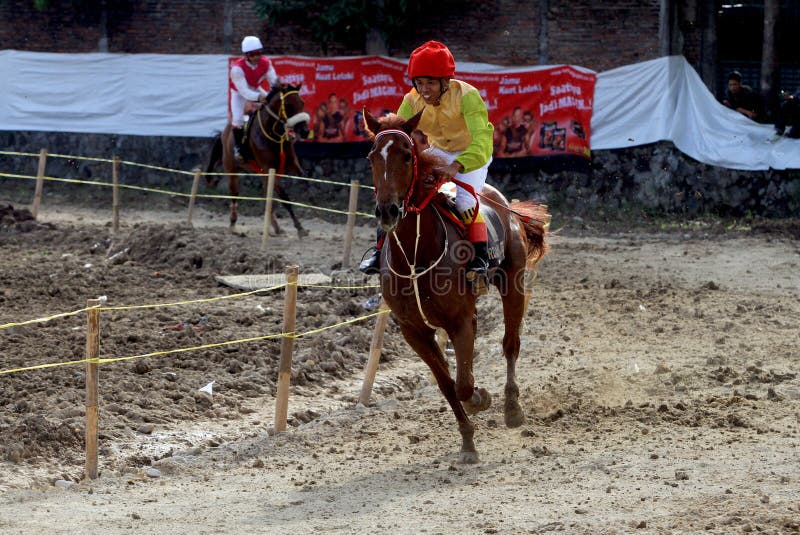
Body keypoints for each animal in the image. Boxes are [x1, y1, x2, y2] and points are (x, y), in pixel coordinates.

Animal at [206, 83, 311, 237]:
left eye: (302, 103)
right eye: (289, 105)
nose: (305, 131)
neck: (274, 133)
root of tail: (224, 132)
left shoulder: (291, 164)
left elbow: (304, 178)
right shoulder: (268, 168)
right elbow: (284, 198)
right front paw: (299, 227)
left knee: (266, 195)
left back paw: (275, 226)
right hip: (231, 170)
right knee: (234, 195)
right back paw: (233, 224)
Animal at [364, 110, 550, 464]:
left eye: (406, 155)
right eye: (372, 156)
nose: (387, 210)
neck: (415, 257)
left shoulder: (461, 321)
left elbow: (464, 384)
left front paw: (480, 399)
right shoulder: (414, 331)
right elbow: (448, 384)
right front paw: (467, 441)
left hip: (514, 284)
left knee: (510, 344)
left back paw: (511, 407)